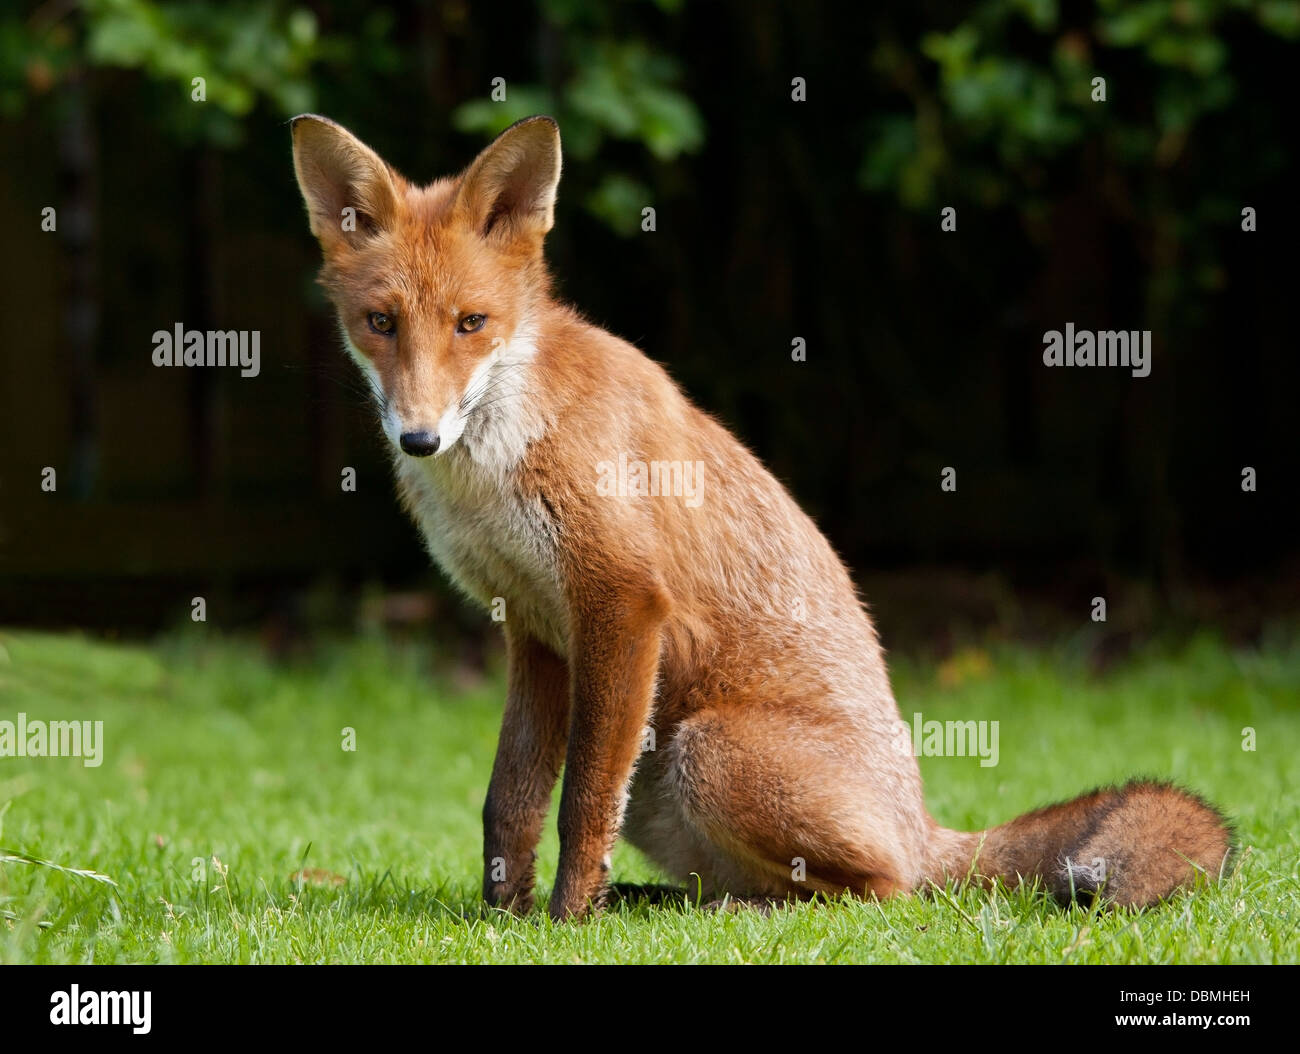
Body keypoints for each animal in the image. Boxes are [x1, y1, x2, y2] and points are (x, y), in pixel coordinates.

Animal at [290, 113, 1233, 921]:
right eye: (380, 323)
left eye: (471, 323)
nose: (418, 436)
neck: (499, 465)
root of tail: (926, 826)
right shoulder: (534, 628)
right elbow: (509, 805)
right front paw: (504, 917)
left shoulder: (621, 602)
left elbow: (580, 802)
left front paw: (562, 922)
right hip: (662, 776)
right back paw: (660, 901)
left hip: (705, 750)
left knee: (884, 892)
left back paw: (717, 912)